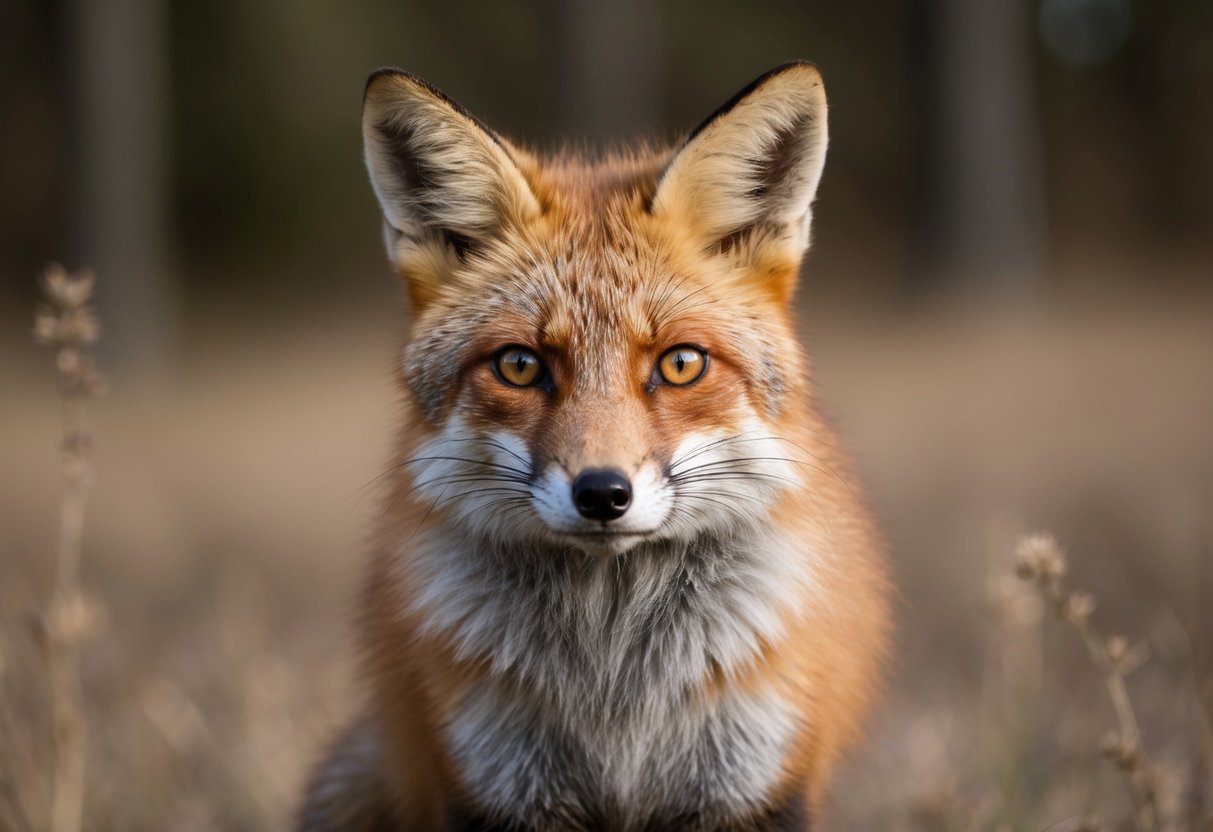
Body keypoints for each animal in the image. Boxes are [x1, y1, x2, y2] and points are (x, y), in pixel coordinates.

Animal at [298, 61, 890, 831]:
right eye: (520, 366)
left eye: (681, 364)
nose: (603, 493)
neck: (614, 696)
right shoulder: (497, 784)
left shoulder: (750, 783)